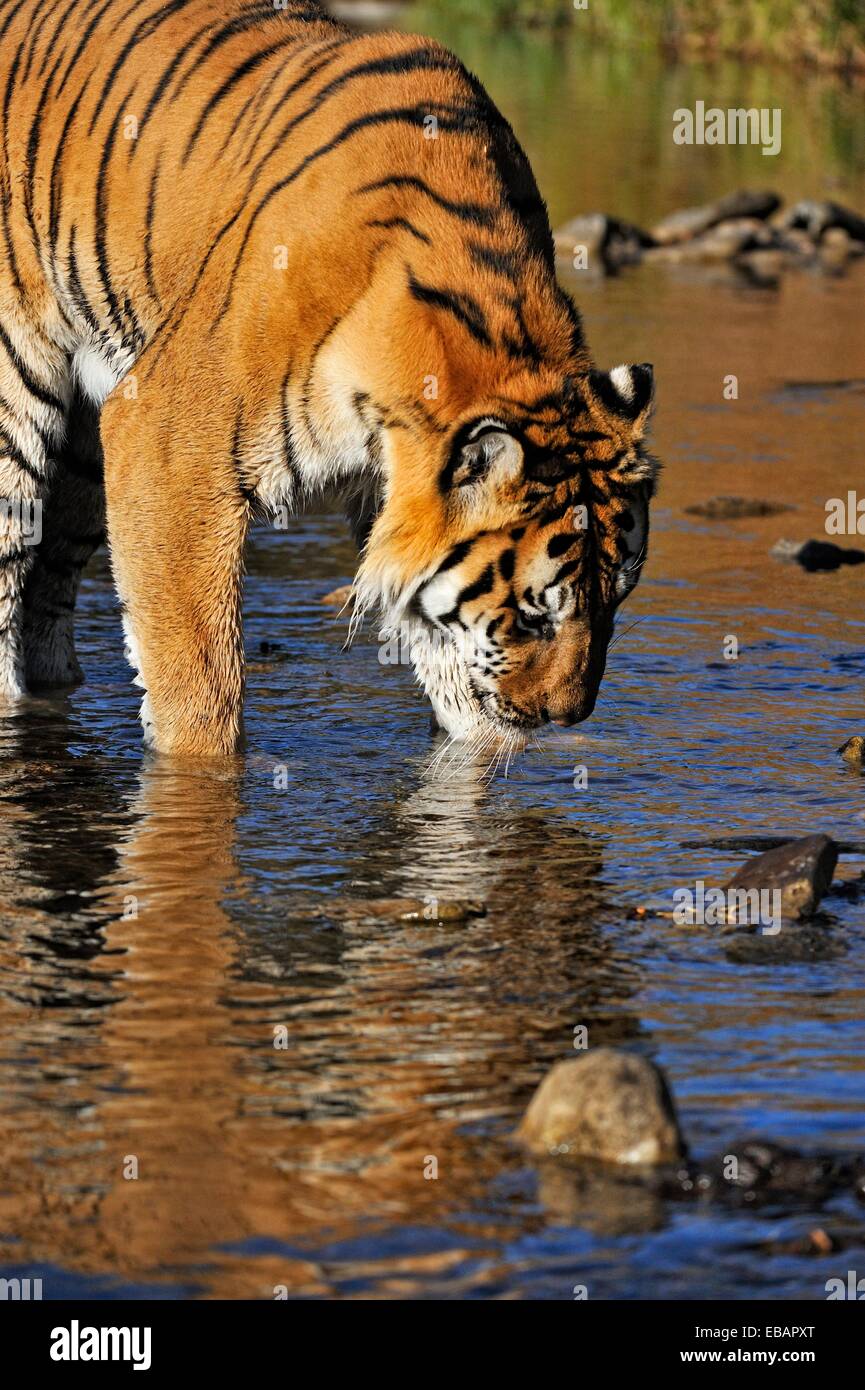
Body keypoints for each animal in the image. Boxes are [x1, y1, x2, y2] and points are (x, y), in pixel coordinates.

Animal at [0, 0, 657, 756]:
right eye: (533, 617)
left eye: (616, 601)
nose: (567, 715)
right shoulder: (169, 443)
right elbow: (198, 677)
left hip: (85, 453)